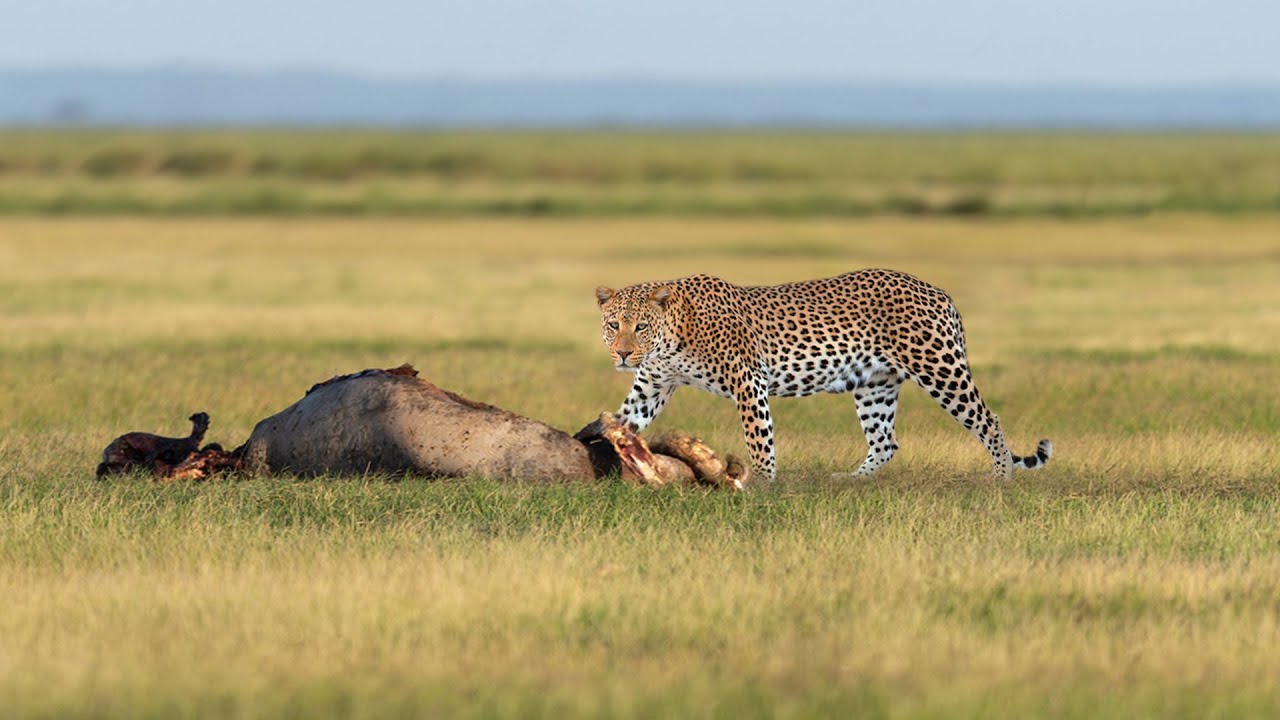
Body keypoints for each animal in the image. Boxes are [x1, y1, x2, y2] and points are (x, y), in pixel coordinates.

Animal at [594, 269, 1052, 482]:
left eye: (640, 326)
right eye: (614, 324)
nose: (623, 354)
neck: (672, 337)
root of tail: (937, 291)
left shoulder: (748, 380)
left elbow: (759, 440)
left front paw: (761, 485)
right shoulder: (652, 386)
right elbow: (622, 421)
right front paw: (598, 454)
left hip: (938, 367)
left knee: (989, 420)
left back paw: (1000, 479)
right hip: (875, 384)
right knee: (885, 442)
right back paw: (852, 481)